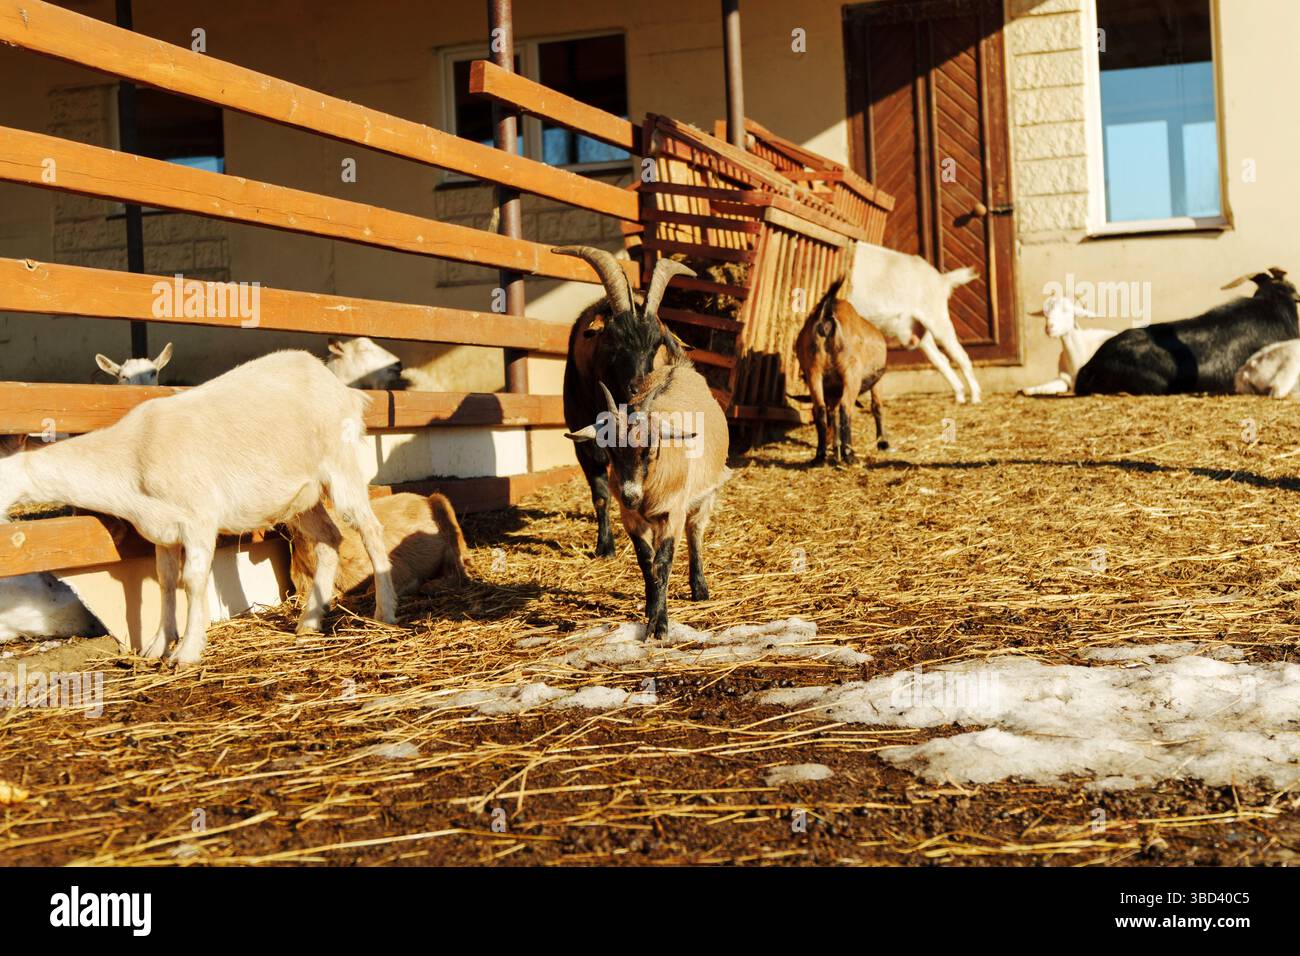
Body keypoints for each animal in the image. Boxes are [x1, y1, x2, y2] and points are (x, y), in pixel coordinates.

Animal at [0, 350, 396, 664]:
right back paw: (309, 621)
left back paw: (385, 611)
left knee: (370, 530)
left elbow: (192, 581)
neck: (132, 458)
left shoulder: (199, 518)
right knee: (329, 539)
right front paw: (158, 645)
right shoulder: (161, 529)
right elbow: (165, 581)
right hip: (301, 497)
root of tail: (340, 386)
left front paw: (187, 651)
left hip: (341, 464)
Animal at [558, 245, 695, 558]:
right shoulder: (584, 443)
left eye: (657, 344)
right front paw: (605, 546)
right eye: (612, 341)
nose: (640, 385)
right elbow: (600, 494)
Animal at [565, 358, 730, 639]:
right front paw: (652, 607)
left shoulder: (673, 513)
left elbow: (662, 563)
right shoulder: (631, 517)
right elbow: (645, 560)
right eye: (610, 449)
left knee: (695, 534)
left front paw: (659, 626)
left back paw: (700, 589)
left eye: (650, 448)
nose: (630, 495)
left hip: (706, 496)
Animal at [794, 277, 889, 464]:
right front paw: (882, 442)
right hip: (851, 372)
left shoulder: (830, 390)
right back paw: (849, 454)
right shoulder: (877, 381)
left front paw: (835, 446)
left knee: (821, 409)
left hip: (814, 371)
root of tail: (827, 315)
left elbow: (831, 414)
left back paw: (820, 456)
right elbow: (877, 407)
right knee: (846, 408)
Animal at [843, 243, 982, 404]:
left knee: (961, 356)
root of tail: (941, 280)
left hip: (937, 319)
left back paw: (975, 398)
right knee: (941, 359)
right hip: (921, 333)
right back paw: (959, 397)